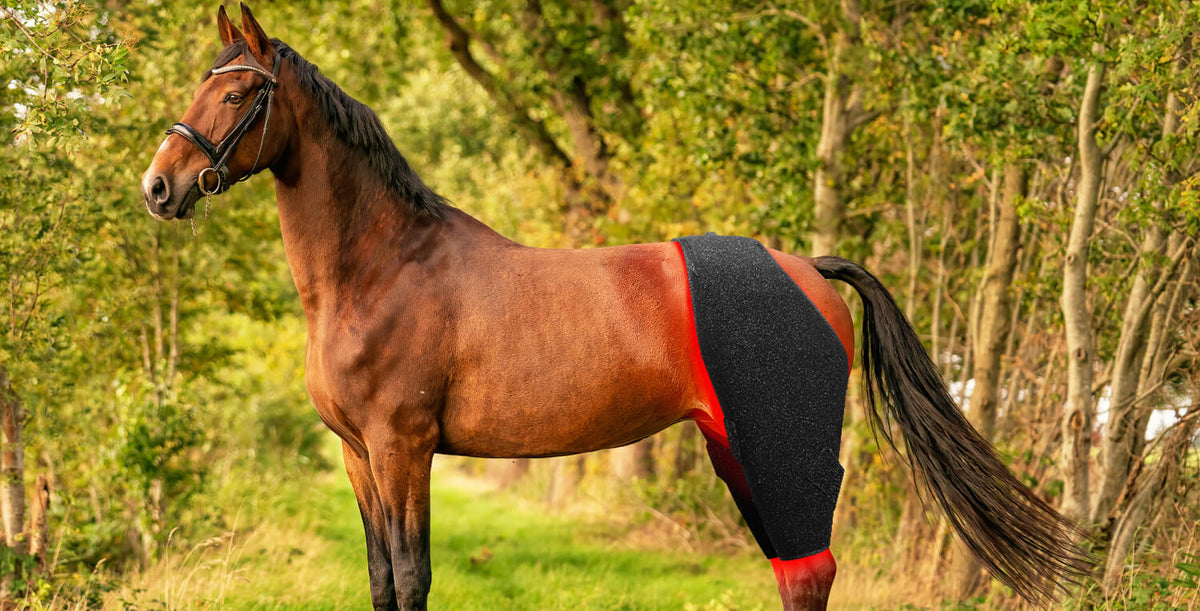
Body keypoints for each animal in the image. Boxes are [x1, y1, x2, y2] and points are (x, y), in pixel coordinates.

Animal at [141, 5, 1088, 609]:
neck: (382, 268)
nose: (159, 187)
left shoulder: (403, 447)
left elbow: (412, 577)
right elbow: (381, 578)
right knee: (796, 571)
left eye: (237, 93)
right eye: (200, 85)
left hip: (781, 446)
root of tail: (809, 268)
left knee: (809, 568)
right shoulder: (357, 455)